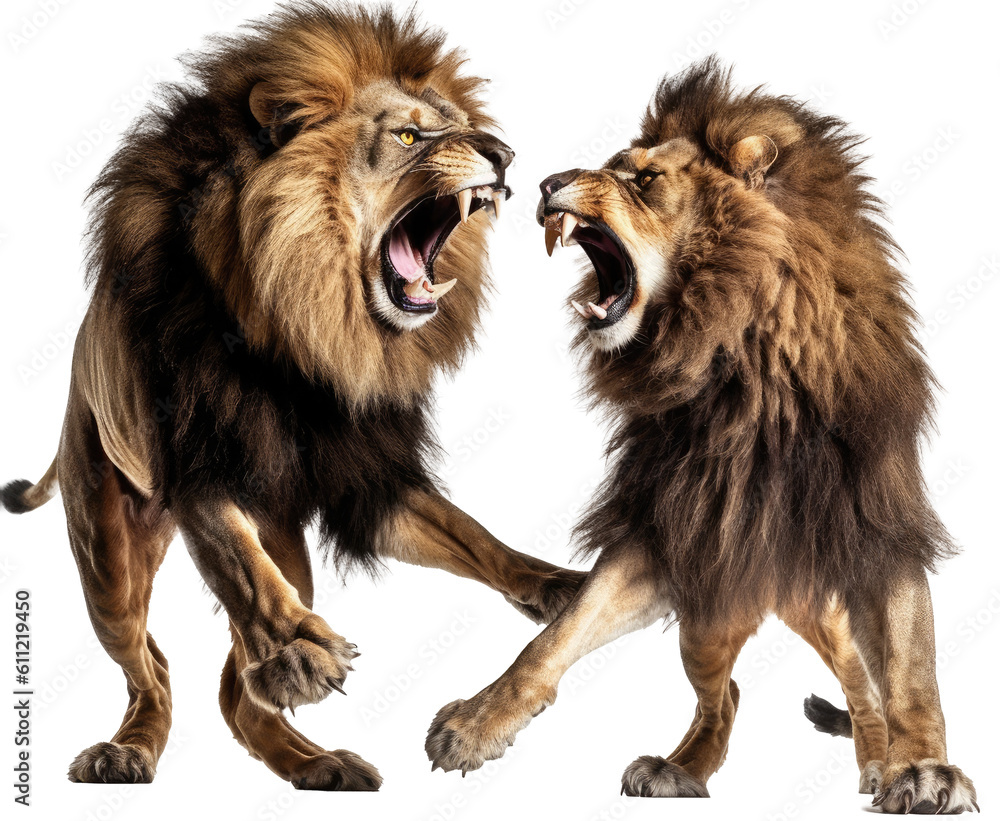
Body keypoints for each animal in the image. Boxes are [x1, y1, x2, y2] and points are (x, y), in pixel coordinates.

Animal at [0, 3, 585, 790]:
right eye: (409, 136)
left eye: (462, 125)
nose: (503, 153)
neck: (306, 330)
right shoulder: (199, 467)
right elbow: (244, 570)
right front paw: (299, 653)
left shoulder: (364, 478)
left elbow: (476, 535)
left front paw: (564, 586)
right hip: (108, 556)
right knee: (151, 665)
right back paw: (129, 749)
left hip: (287, 543)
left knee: (235, 696)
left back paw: (321, 765)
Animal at [424, 59, 979, 814]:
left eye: (642, 179)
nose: (543, 183)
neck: (733, 355)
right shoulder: (663, 533)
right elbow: (554, 638)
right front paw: (477, 723)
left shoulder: (877, 531)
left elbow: (912, 672)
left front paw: (925, 769)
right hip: (707, 617)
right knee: (729, 695)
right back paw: (677, 769)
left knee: (860, 682)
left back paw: (875, 761)